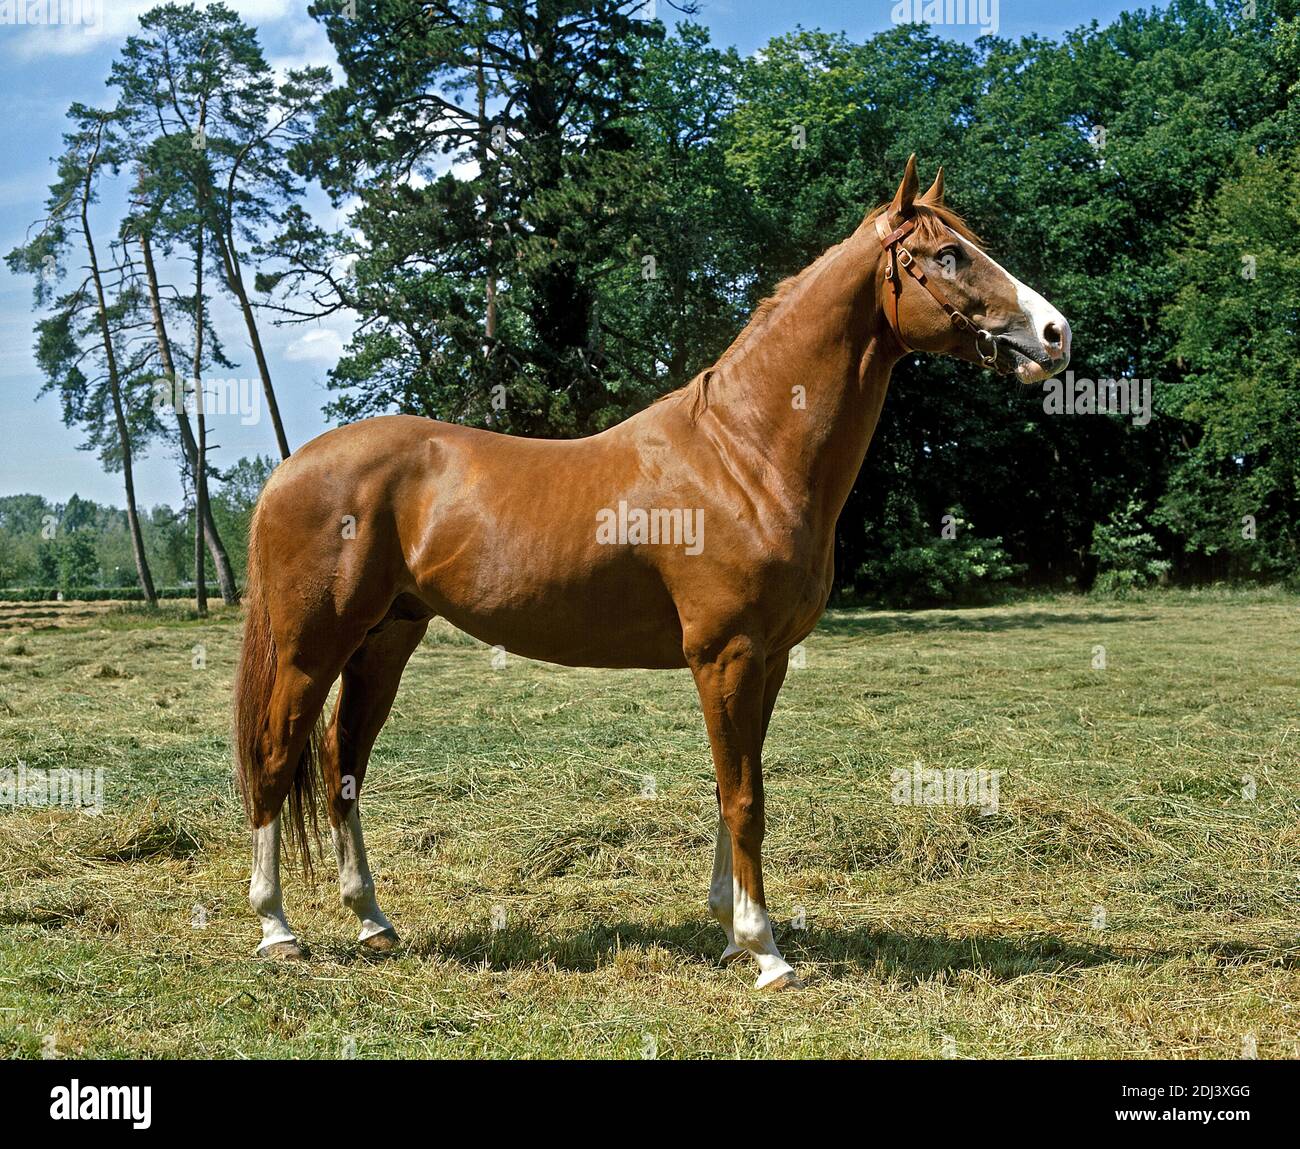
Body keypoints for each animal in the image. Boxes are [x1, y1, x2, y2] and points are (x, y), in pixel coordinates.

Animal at [233, 156, 1071, 989]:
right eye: (948, 255)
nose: (1055, 333)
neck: (746, 454)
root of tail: (286, 471)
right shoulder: (726, 655)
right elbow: (745, 797)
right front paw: (766, 950)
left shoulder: (767, 660)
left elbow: (734, 785)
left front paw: (731, 932)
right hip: (313, 649)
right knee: (274, 760)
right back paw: (276, 929)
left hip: (385, 639)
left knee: (342, 764)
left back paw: (373, 921)